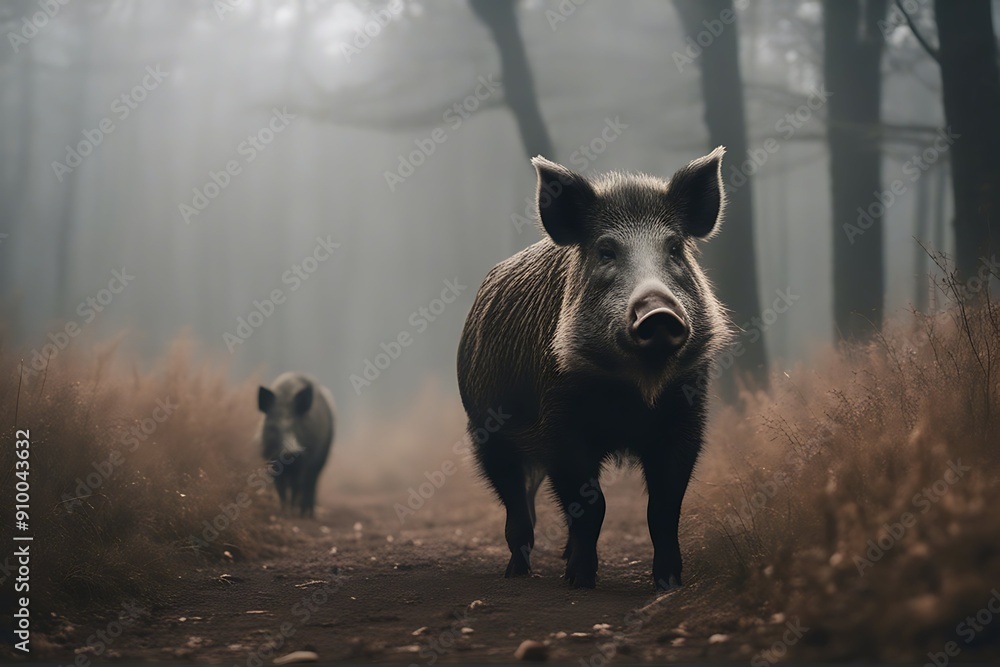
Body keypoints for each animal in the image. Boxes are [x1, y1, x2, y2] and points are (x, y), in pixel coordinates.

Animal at [257, 372, 336, 517]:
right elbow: (280, 487)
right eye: (273, 426)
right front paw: (283, 510)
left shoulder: (303, 463)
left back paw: (308, 514)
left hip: (322, 458)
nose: (292, 451)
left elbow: (297, 485)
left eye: (294, 424)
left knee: (311, 483)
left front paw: (292, 512)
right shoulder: (272, 462)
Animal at [457, 148, 731, 590]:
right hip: (486, 430)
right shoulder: (559, 426)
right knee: (517, 502)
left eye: (674, 247)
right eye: (606, 250)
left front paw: (669, 583)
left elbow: (664, 507)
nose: (658, 311)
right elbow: (591, 505)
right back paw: (518, 571)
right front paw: (579, 581)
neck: (633, 390)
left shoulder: (687, 417)